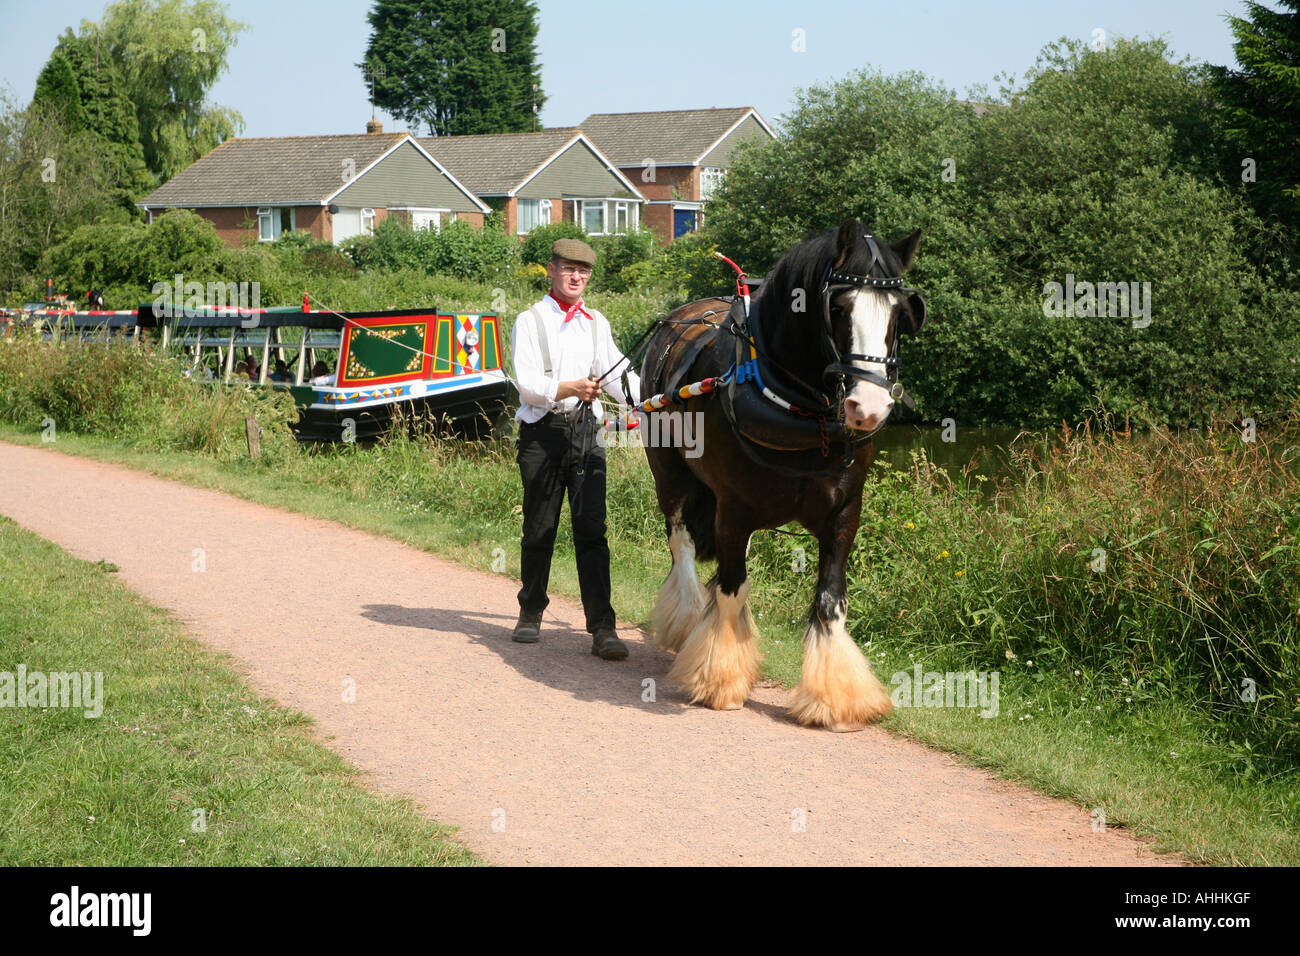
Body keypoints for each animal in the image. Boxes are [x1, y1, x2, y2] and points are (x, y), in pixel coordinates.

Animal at [639, 218, 926, 731]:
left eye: (898, 312)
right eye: (839, 307)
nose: (869, 408)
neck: (803, 415)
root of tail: (680, 314)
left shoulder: (844, 515)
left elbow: (830, 600)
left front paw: (837, 697)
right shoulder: (732, 508)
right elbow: (732, 586)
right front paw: (720, 680)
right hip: (669, 474)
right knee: (683, 545)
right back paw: (686, 622)